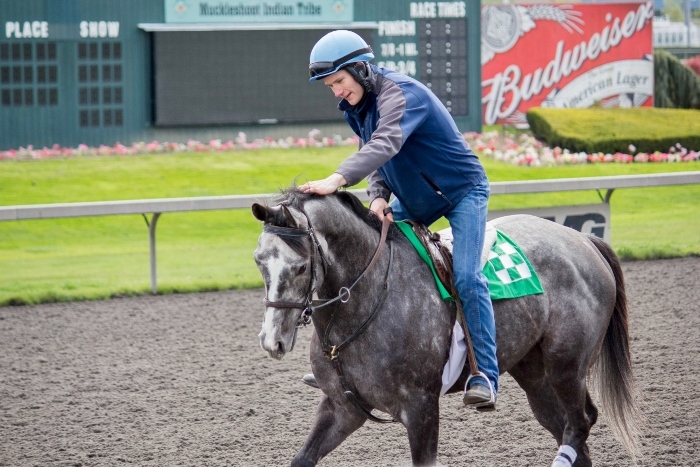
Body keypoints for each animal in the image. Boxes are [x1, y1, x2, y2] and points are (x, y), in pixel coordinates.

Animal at [251, 188, 642, 467]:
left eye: (301, 267)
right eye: (258, 261)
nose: (272, 341)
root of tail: (583, 240)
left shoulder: (421, 409)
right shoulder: (341, 407)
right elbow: (303, 458)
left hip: (566, 367)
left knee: (580, 423)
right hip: (537, 377)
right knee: (571, 432)